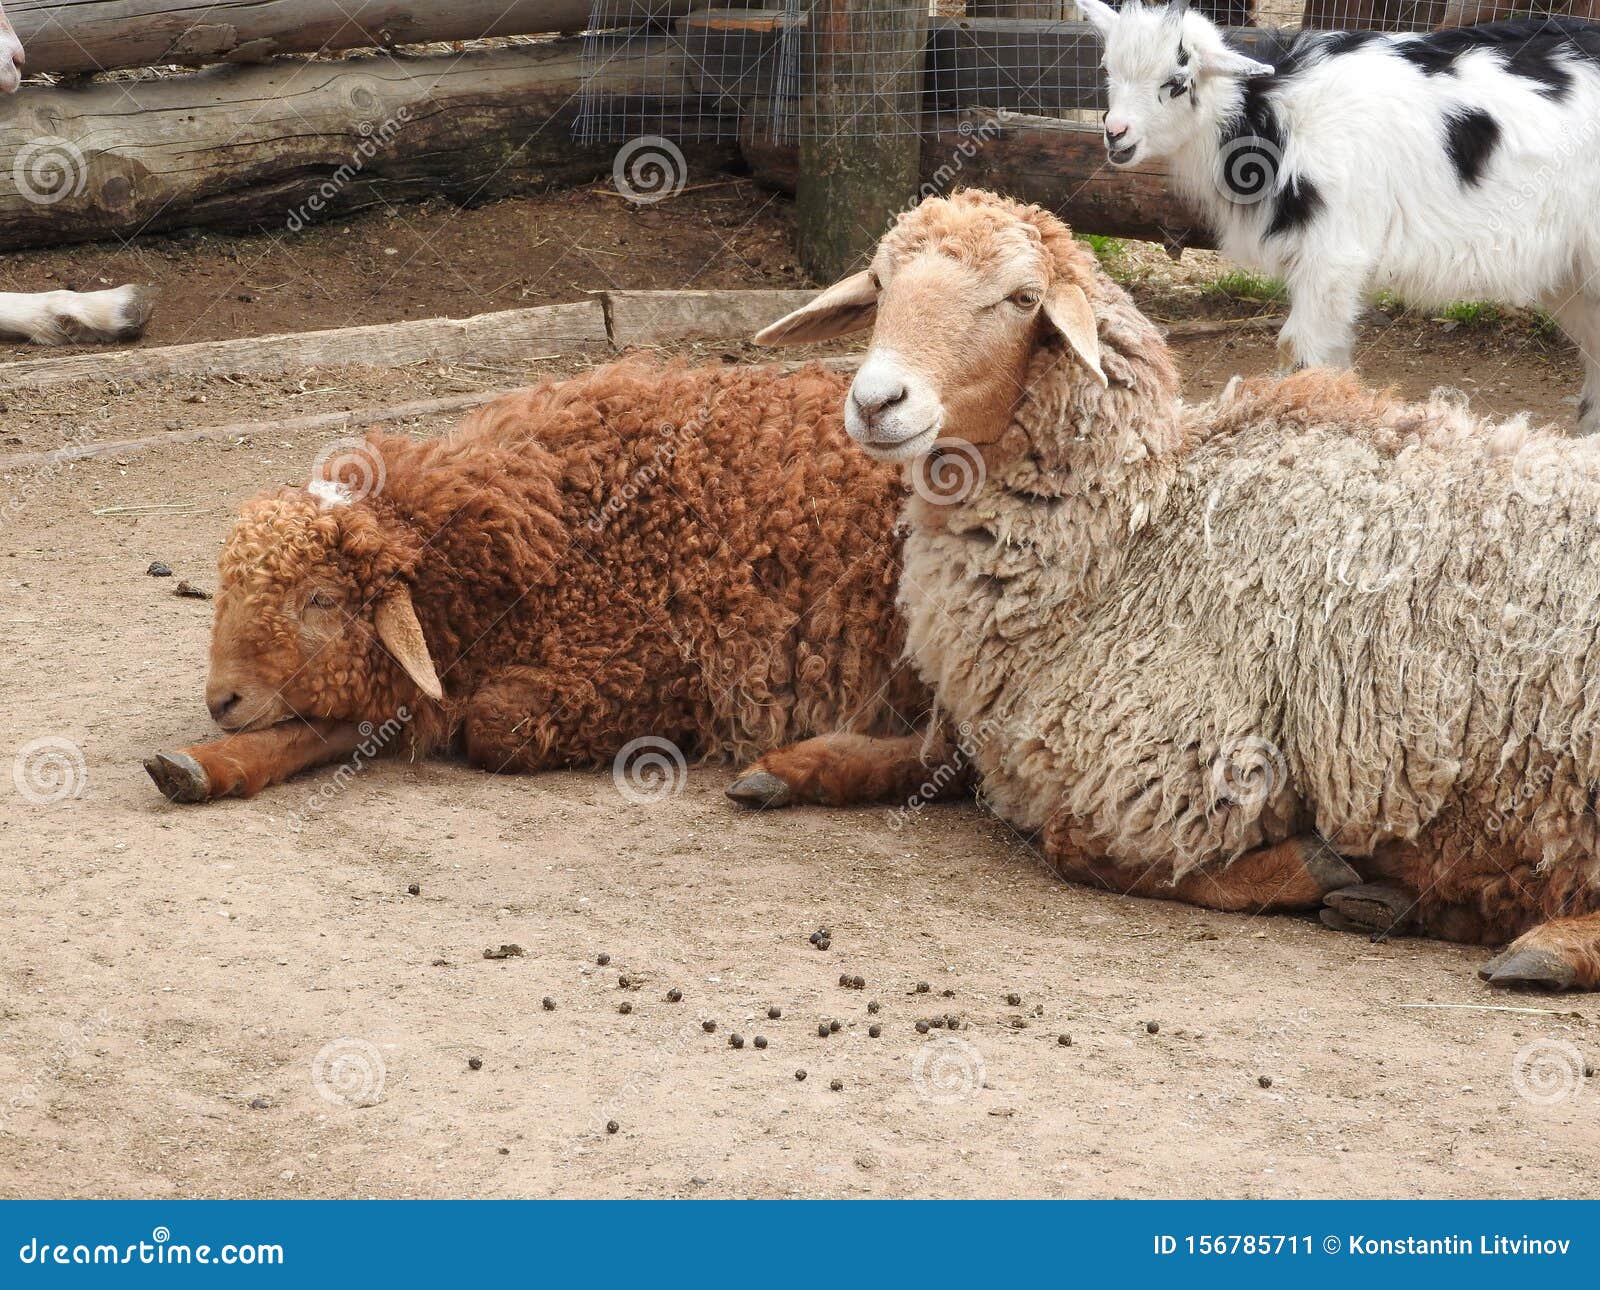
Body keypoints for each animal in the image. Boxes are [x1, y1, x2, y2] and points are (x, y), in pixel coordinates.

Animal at [143, 356, 927, 807]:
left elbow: (490, 728)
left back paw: (796, 773)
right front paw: (203, 766)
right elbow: (341, 723)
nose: (222, 699)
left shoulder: (651, 668)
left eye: (321, 599)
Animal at [736, 187, 1600, 991]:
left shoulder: (1178, 762)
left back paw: (1539, 948)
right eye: (882, 283)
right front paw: (798, 766)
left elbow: (1079, 847)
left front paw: (1314, 869)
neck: (1136, 536)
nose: (876, 401)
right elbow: (935, 751)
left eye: (1022, 298)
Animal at [1073, 0, 1600, 434]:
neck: (1274, 117)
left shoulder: (1334, 253)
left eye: (1177, 84)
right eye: (1106, 70)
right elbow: (1330, 355)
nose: (1115, 135)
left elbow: (1300, 348)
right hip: (1570, 270)